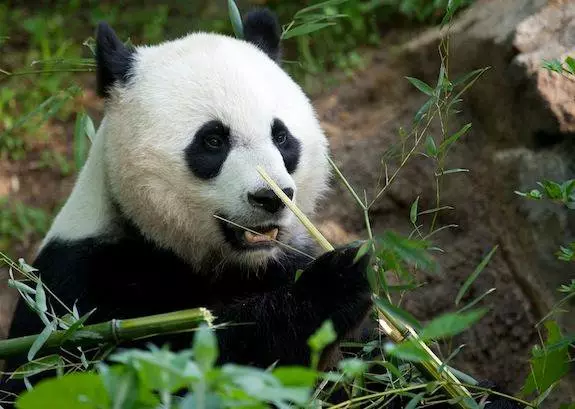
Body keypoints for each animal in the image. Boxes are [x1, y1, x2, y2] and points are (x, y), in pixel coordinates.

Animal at [1, 7, 520, 408]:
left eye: (281, 136)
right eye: (213, 140)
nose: (271, 196)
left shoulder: (284, 259)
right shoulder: (76, 291)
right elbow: (131, 368)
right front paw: (335, 284)